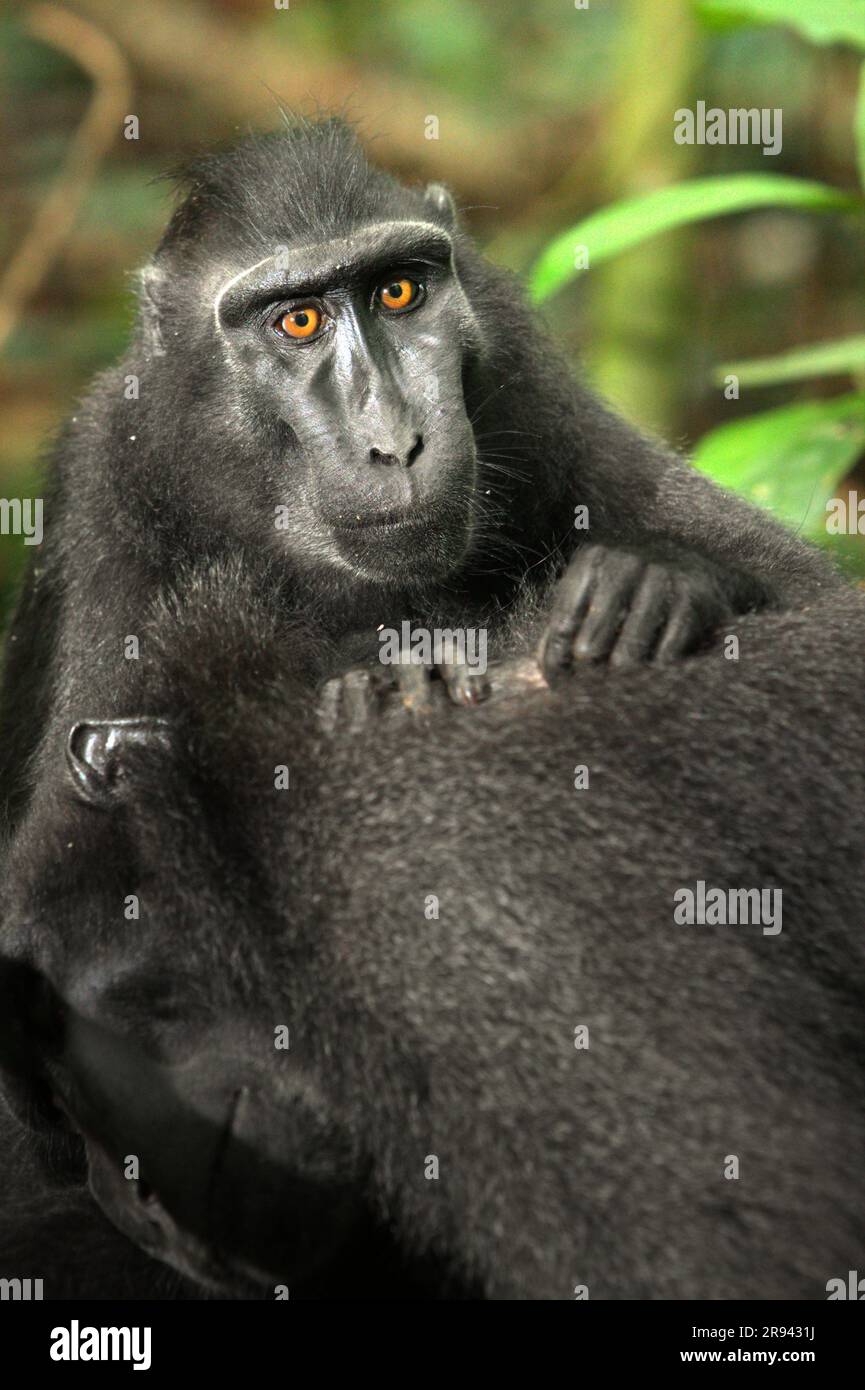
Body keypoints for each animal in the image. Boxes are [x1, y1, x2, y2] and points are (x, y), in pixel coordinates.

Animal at [0, 116, 846, 840]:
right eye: (298, 321)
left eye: (398, 291)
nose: (394, 443)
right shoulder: (111, 487)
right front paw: (385, 669)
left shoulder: (541, 397)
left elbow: (816, 602)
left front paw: (658, 580)